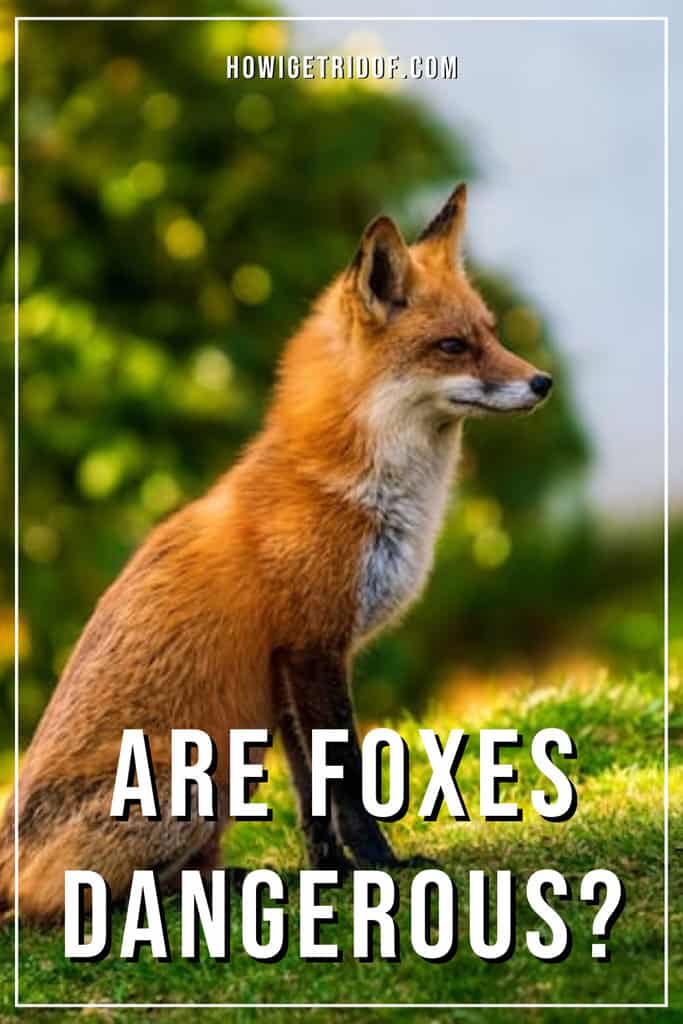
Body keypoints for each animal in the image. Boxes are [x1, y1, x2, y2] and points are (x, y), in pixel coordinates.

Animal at [1, 184, 552, 922]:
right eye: (452, 346)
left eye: (491, 333)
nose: (542, 382)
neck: (347, 492)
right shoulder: (313, 645)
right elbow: (345, 779)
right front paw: (382, 866)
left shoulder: (287, 665)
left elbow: (312, 796)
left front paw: (332, 875)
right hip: (189, 787)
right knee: (53, 908)